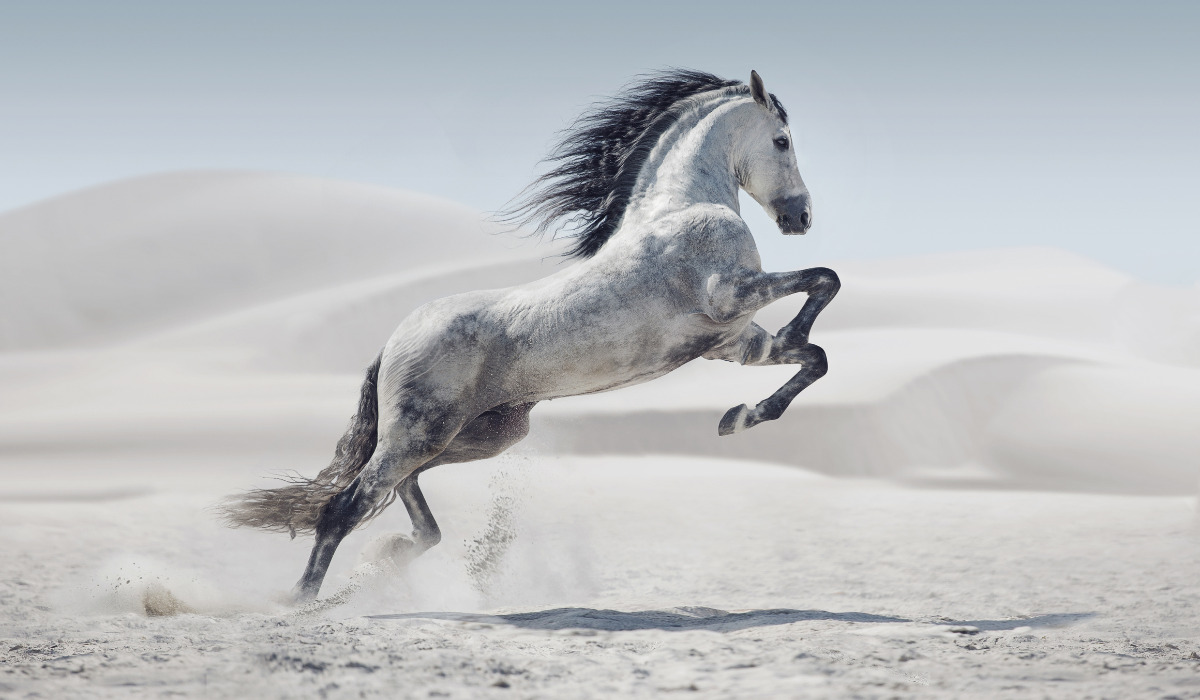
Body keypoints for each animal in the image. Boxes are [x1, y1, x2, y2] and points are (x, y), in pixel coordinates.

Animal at [221, 69, 840, 602]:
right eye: (782, 140)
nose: (801, 218)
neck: (681, 208)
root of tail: (392, 342)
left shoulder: (734, 342)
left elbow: (814, 356)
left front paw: (740, 417)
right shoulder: (729, 295)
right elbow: (824, 280)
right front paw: (762, 382)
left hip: (476, 436)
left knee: (403, 496)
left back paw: (387, 559)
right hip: (422, 433)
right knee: (346, 506)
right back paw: (301, 601)